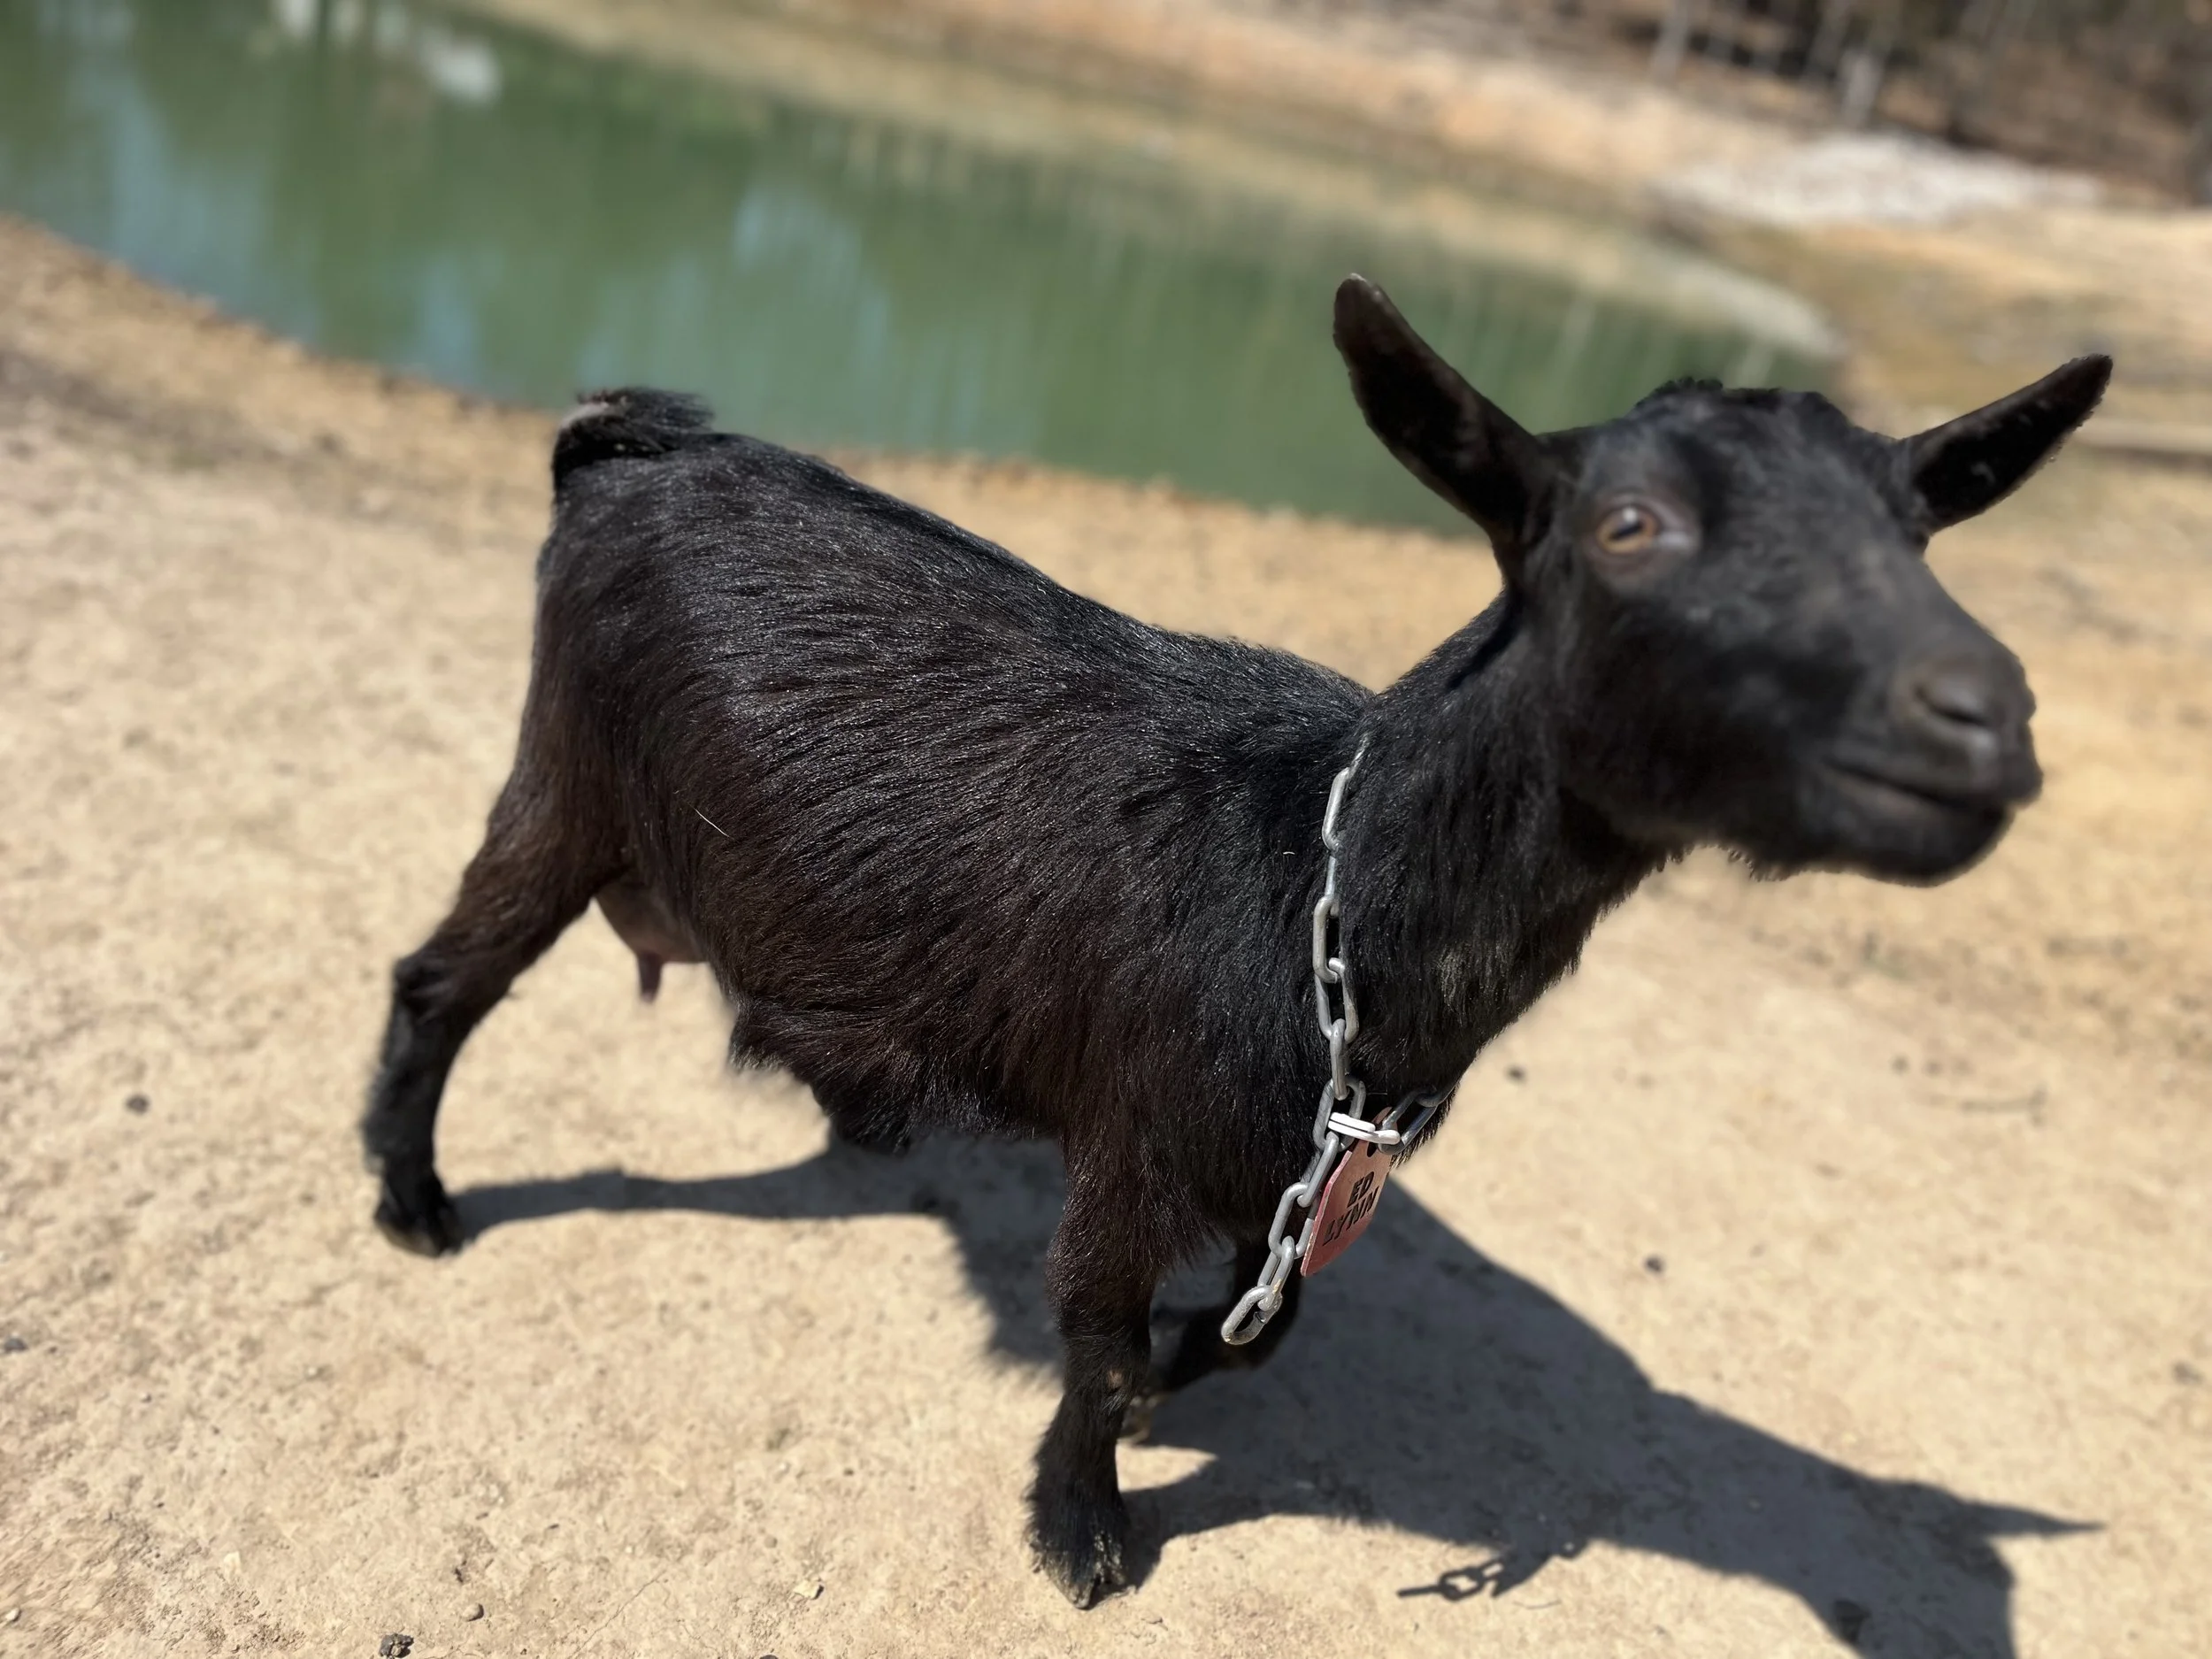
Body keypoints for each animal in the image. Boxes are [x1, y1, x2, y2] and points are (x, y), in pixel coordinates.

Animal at [362, 276, 2107, 1606]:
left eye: (1919, 531)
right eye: (1632, 524)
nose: (1987, 721)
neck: (1323, 885)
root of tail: (622, 450)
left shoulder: (1298, 1172)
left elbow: (1241, 1338)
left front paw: (1184, 1379)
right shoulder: (1131, 1139)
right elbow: (1095, 1337)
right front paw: (1083, 1533)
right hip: (568, 787)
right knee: (440, 979)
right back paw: (415, 1203)